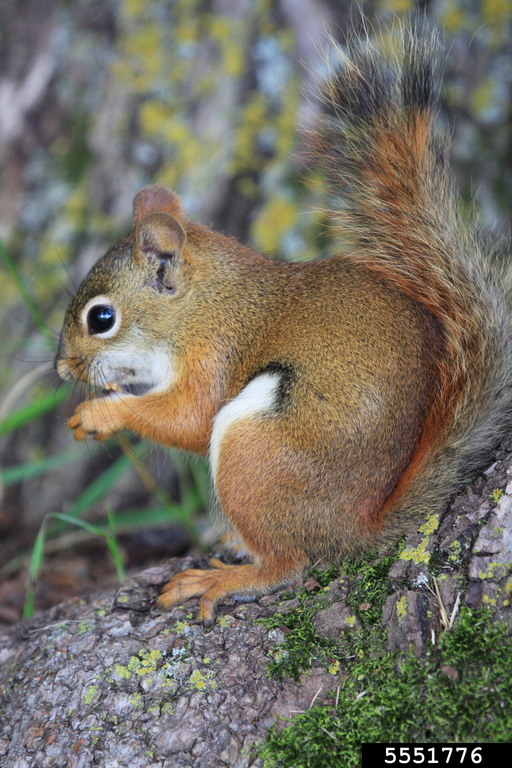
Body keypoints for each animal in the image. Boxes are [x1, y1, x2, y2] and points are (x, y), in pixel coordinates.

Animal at [56, 26, 512, 624]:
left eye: (101, 318)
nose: (62, 369)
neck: (203, 306)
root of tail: (354, 528)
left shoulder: (215, 354)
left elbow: (189, 419)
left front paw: (103, 412)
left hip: (255, 452)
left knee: (288, 563)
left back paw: (221, 580)